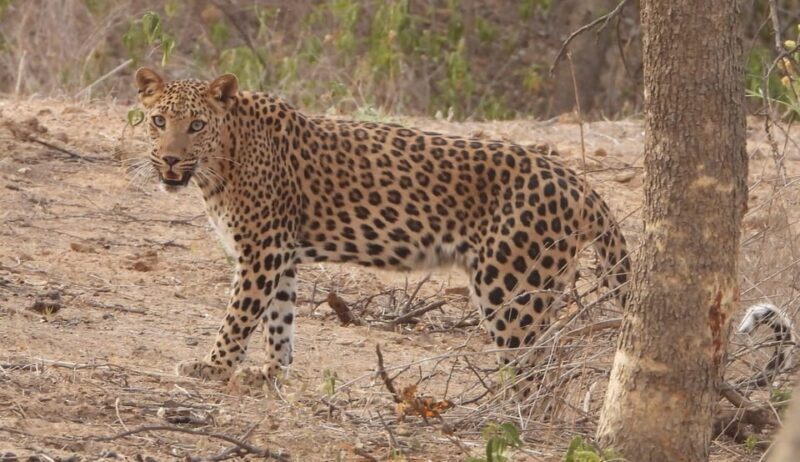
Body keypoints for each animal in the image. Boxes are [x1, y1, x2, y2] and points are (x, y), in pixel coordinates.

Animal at [133, 68, 631, 393]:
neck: (222, 160)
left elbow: (239, 316)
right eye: (158, 121)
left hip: (512, 288)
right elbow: (279, 318)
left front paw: (213, 367)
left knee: (534, 373)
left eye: (197, 125)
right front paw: (272, 372)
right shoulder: (281, 253)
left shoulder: (263, 249)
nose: (171, 160)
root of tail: (579, 183)